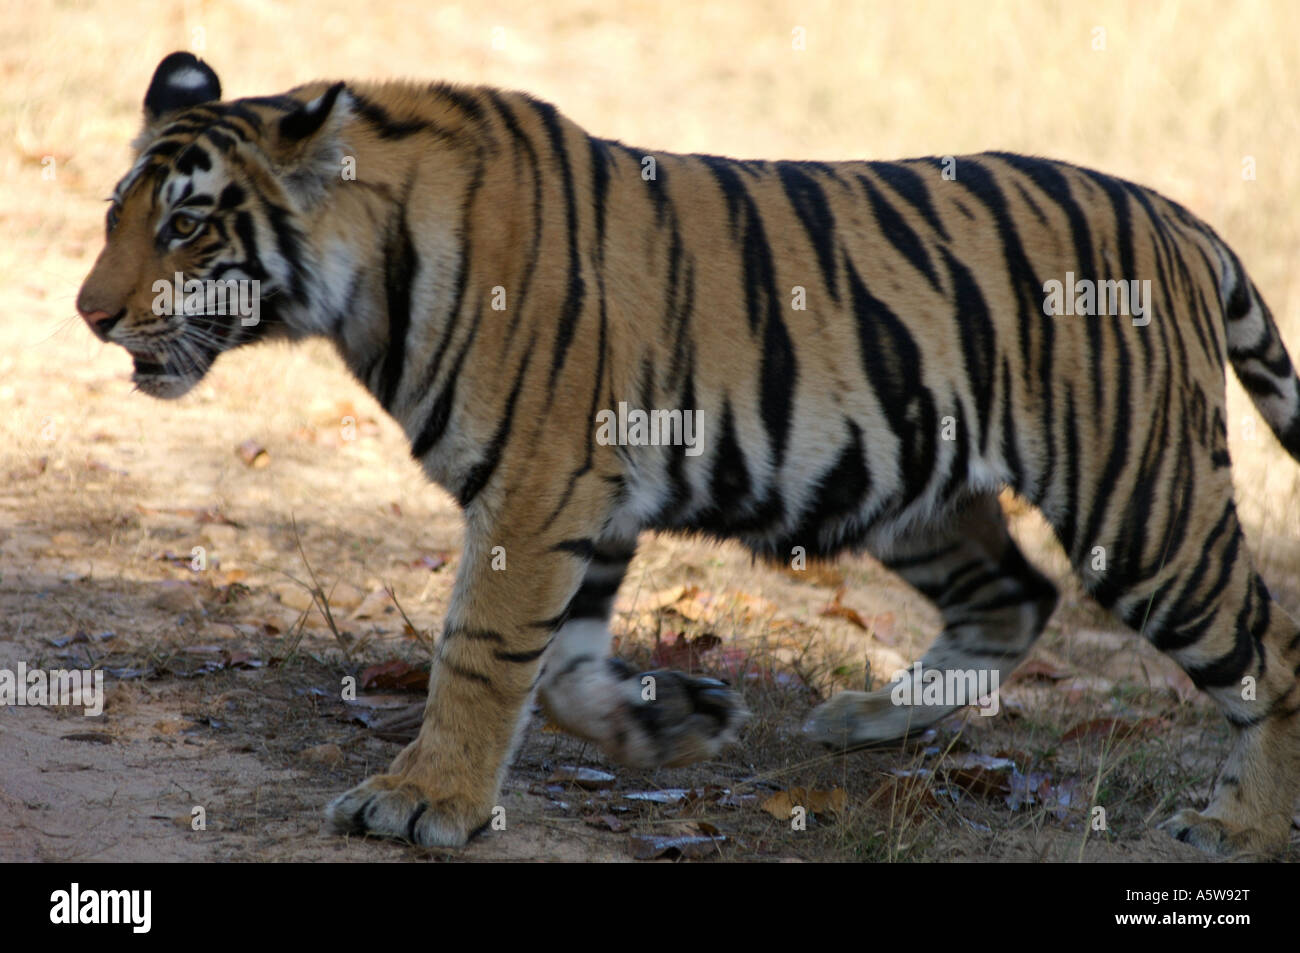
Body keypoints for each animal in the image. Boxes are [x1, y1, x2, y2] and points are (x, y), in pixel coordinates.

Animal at [75, 51, 1300, 855]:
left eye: (186, 225)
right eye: (115, 215)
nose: (90, 314)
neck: (367, 271)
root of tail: (1181, 221)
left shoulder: (538, 486)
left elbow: (479, 651)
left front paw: (421, 800)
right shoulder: (591, 496)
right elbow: (564, 668)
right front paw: (672, 724)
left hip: (1139, 499)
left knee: (1269, 653)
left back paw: (1236, 824)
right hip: (919, 488)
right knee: (1015, 593)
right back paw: (864, 717)